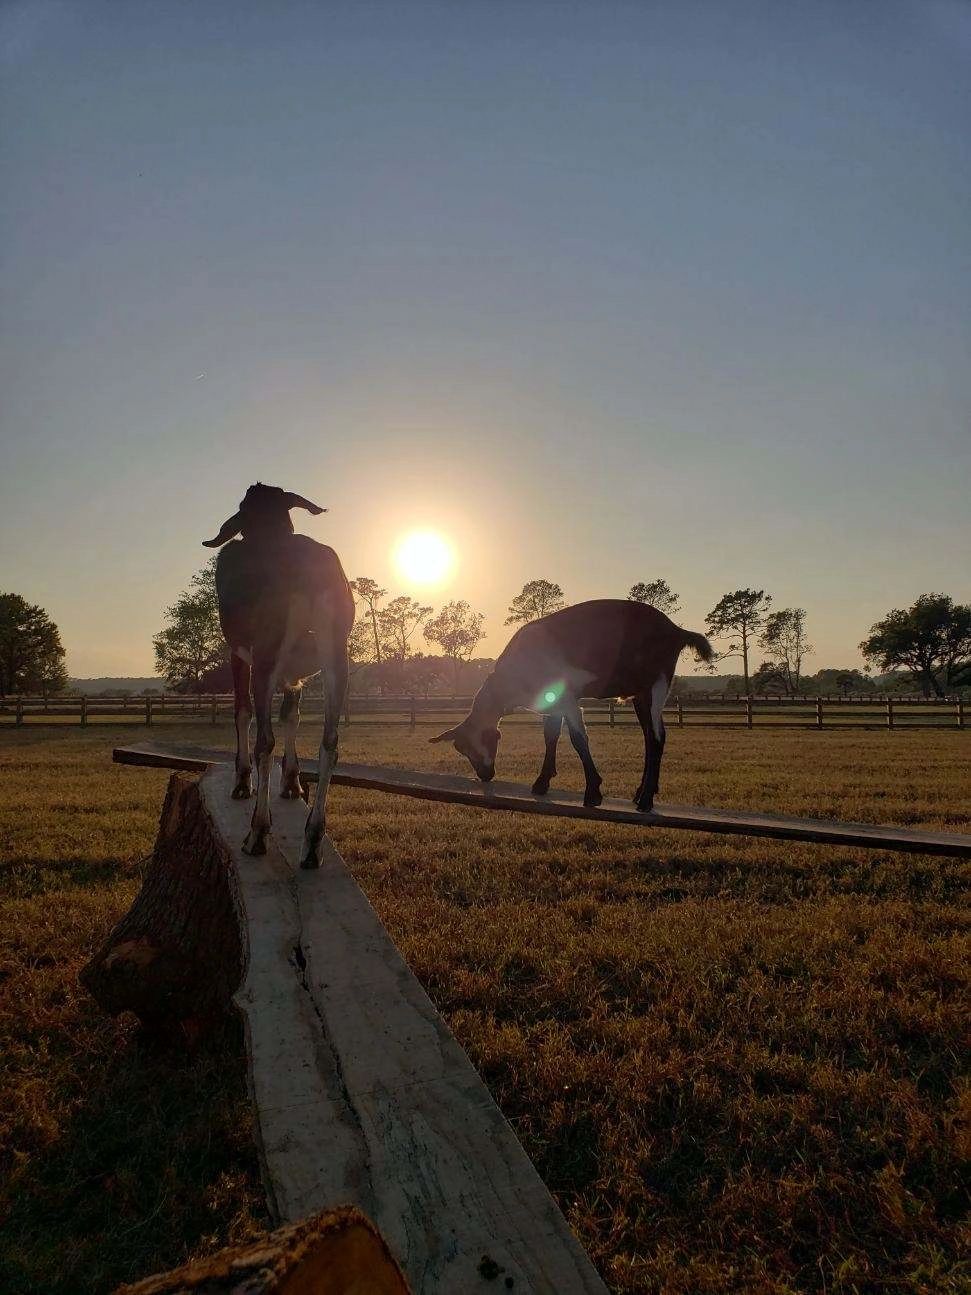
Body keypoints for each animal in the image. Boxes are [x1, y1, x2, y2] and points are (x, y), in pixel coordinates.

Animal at [203, 483, 355, 867]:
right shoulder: (296, 673)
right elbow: (292, 715)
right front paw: (291, 782)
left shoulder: (240, 654)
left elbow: (242, 713)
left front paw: (242, 783)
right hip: (337, 657)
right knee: (330, 743)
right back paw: (312, 843)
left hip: (266, 655)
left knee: (264, 741)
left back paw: (256, 834)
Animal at [430, 599, 713, 812]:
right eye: (461, 749)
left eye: (486, 739)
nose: (485, 774)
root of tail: (677, 631)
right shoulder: (551, 700)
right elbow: (550, 735)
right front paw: (542, 783)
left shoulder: (566, 697)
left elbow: (578, 739)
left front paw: (593, 792)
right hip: (641, 694)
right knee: (651, 736)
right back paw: (642, 793)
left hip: (656, 684)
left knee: (655, 738)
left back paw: (645, 801)